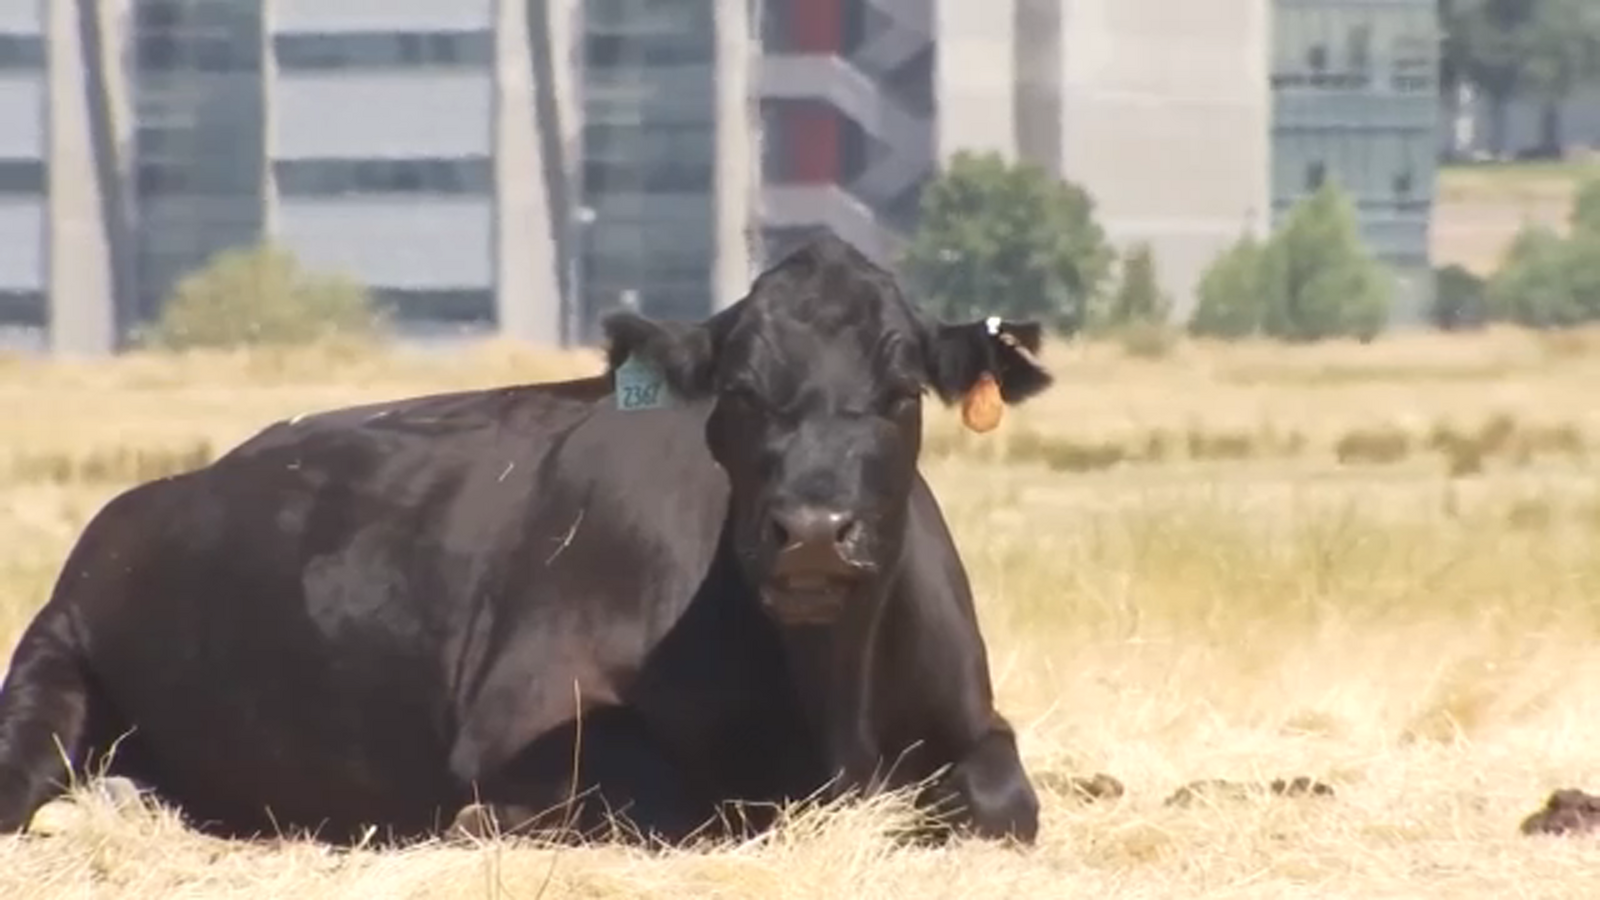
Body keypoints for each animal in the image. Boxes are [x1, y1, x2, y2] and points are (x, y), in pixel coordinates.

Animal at [0, 232, 1055, 849]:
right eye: (743, 391)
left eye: (901, 392)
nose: (814, 534)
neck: (829, 703)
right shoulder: (520, 718)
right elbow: (672, 802)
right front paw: (485, 821)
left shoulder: (974, 721)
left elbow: (1006, 802)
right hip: (54, 656)